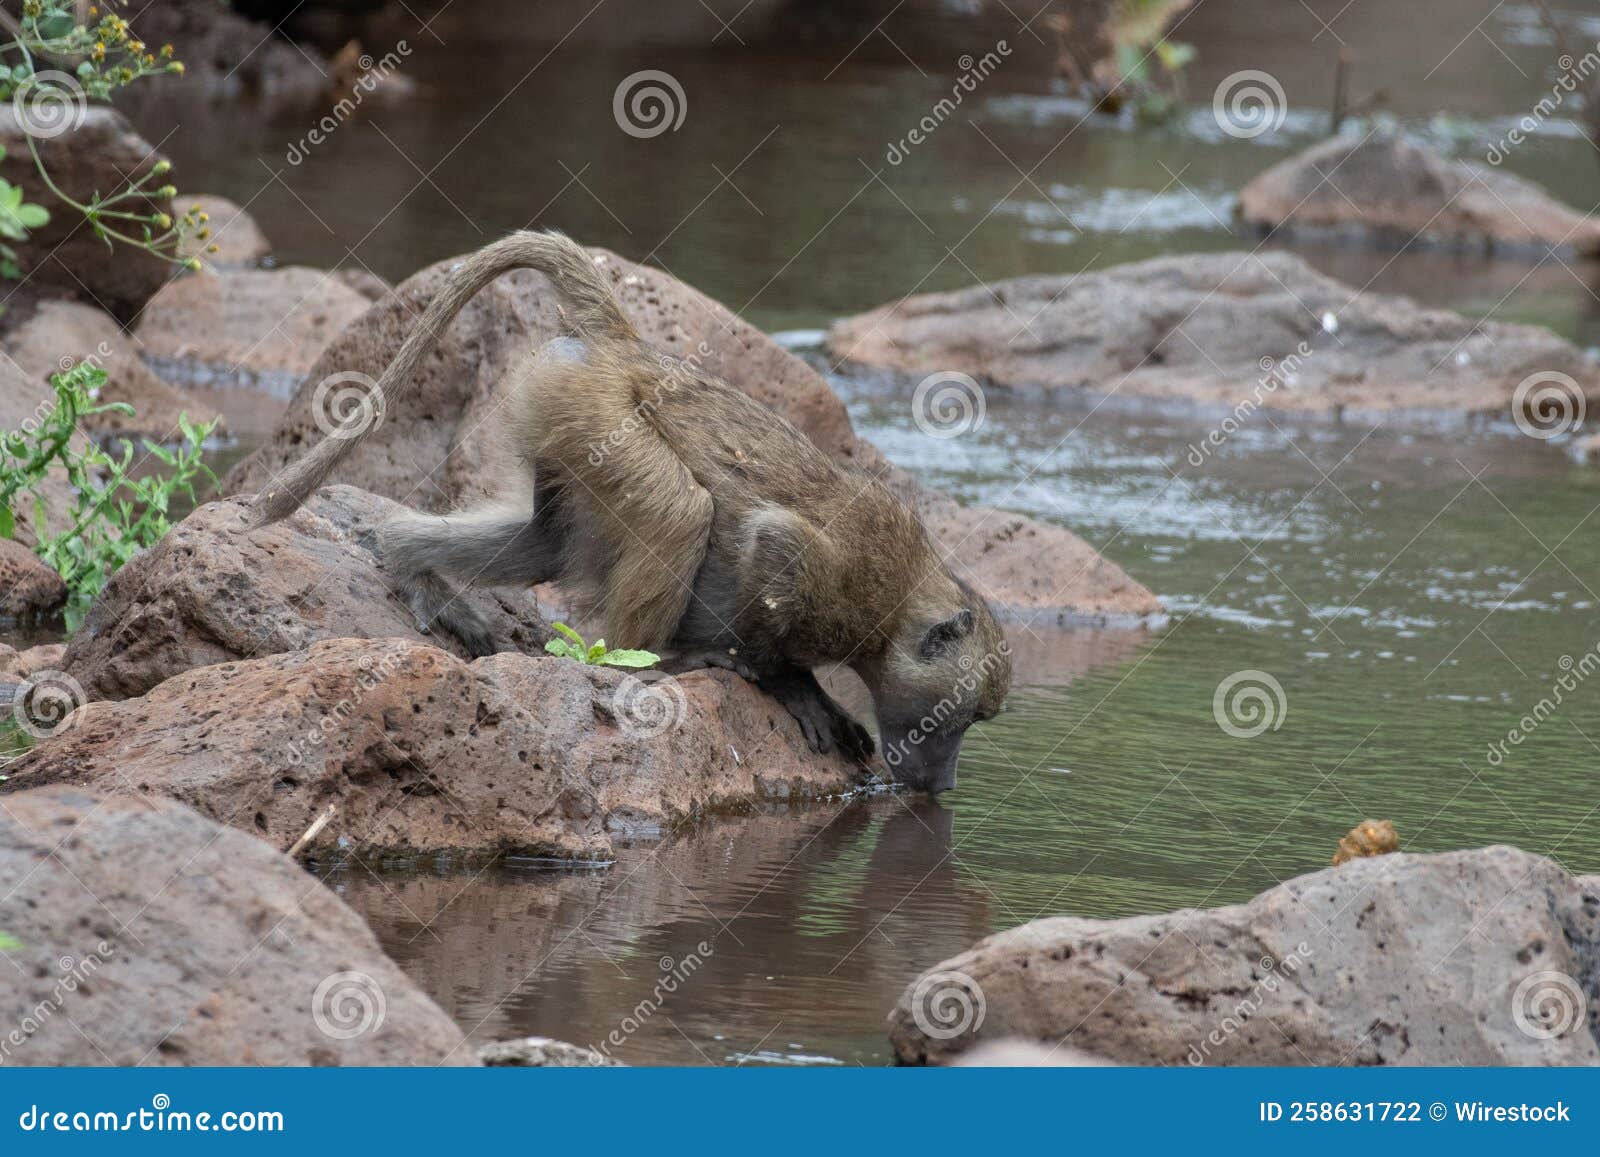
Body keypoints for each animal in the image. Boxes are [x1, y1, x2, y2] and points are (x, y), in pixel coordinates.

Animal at [248, 231, 1010, 793]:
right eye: (963, 716)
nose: (945, 784)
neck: (899, 601)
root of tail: (626, 348)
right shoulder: (837, 588)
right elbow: (772, 545)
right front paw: (798, 689)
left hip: (563, 419)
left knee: (545, 543)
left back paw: (409, 561)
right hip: (599, 414)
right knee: (680, 512)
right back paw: (656, 662)